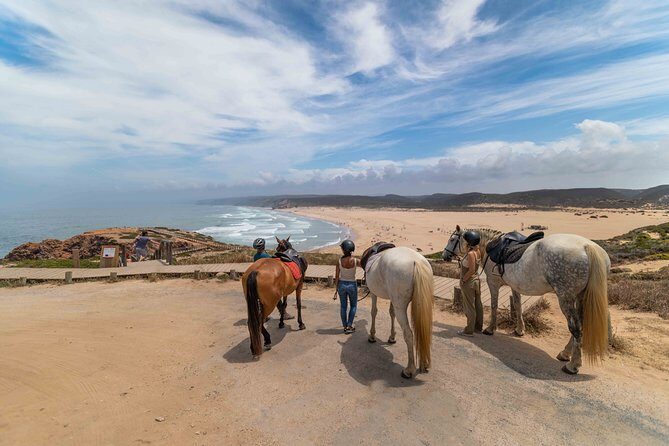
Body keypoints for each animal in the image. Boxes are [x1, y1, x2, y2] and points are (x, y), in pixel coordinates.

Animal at [363, 245, 434, 379]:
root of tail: (416, 261)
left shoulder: (373, 293)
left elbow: (374, 312)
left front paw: (372, 336)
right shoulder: (392, 300)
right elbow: (391, 313)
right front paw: (392, 337)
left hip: (400, 306)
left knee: (409, 334)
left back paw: (409, 370)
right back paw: (424, 364)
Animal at [442, 225, 610, 374]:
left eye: (452, 239)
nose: (444, 256)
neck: (491, 245)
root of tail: (587, 247)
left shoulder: (493, 283)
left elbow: (494, 305)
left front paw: (490, 329)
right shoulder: (514, 285)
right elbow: (517, 306)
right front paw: (519, 330)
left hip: (566, 297)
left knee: (575, 328)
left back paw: (573, 365)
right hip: (580, 297)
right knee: (579, 325)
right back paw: (565, 354)